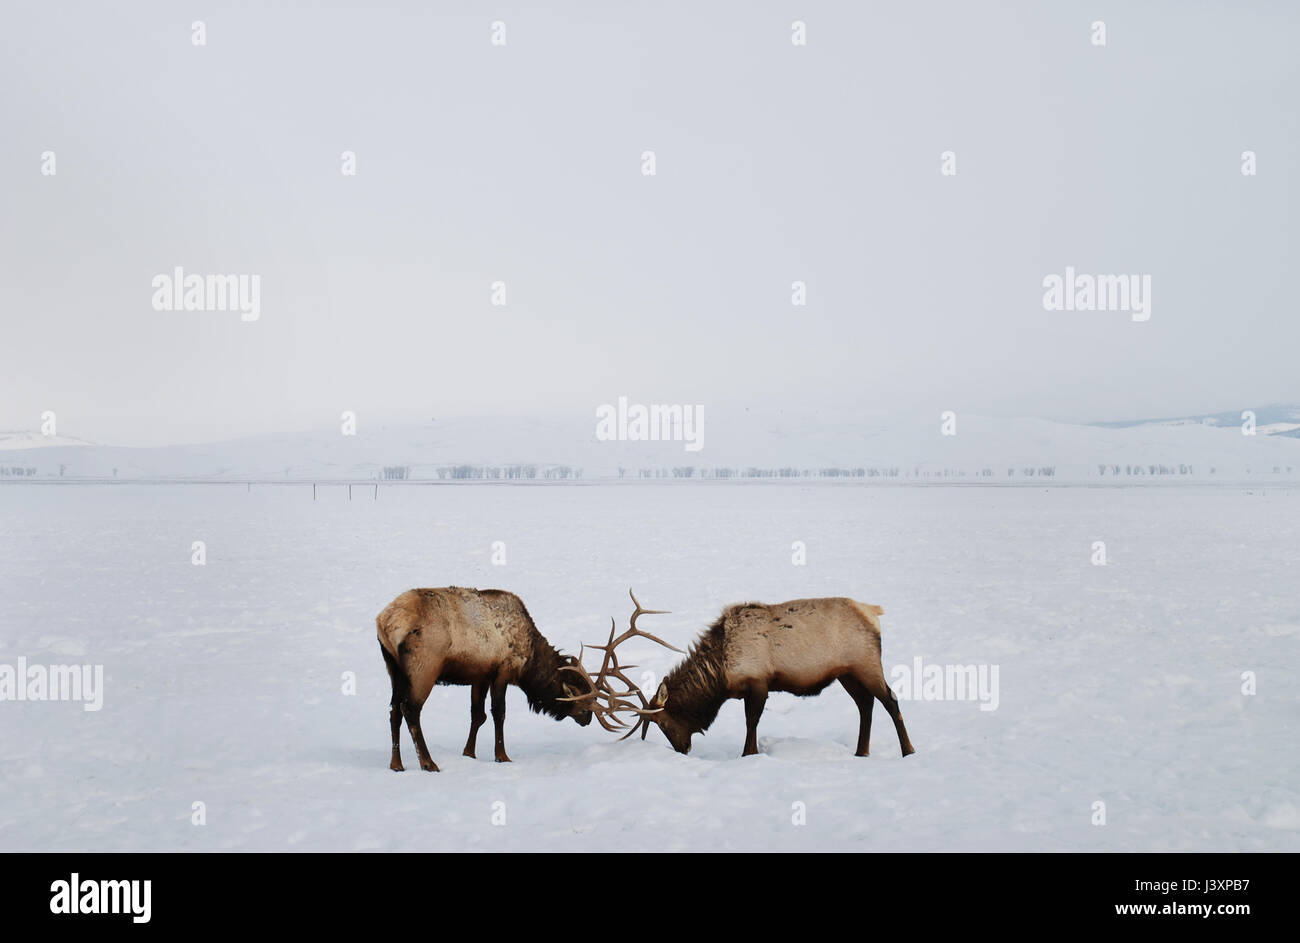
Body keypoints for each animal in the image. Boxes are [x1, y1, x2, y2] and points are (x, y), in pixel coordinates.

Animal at [376, 587, 595, 771]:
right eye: (584, 705)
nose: (588, 720)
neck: (528, 663)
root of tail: (384, 622)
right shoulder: (502, 671)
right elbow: (499, 713)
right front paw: (502, 756)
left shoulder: (480, 675)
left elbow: (478, 715)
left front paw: (469, 753)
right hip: (424, 668)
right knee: (410, 709)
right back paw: (428, 763)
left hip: (394, 670)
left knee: (394, 710)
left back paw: (396, 764)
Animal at [572, 590, 915, 759]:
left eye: (664, 722)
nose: (682, 750)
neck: (720, 673)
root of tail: (874, 612)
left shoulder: (758, 682)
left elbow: (752, 722)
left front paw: (748, 754)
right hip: (848, 673)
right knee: (866, 705)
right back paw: (861, 752)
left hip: (866, 663)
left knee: (890, 700)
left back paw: (908, 751)